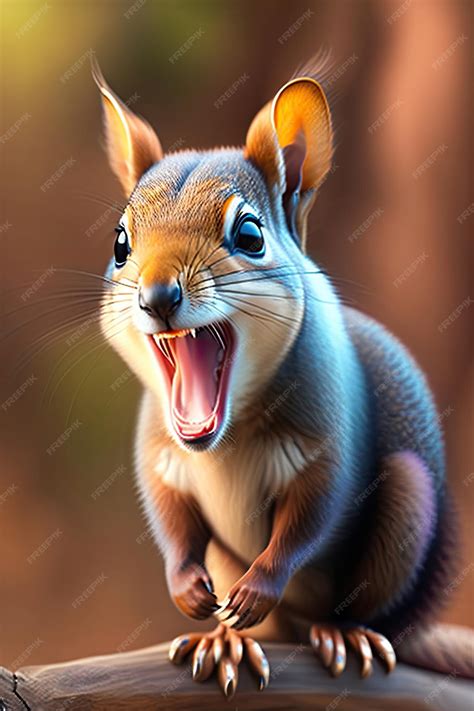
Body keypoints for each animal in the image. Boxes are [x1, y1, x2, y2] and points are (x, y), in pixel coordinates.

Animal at [91, 59, 472, 697]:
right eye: (120, 244)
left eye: (249, 235)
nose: (157, 296)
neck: (227, 438)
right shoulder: (158, 451)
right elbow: (169, 515)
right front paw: (187, 589)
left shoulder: (330, 440)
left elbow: (311, 518)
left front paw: (259, 586)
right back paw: (227, 639)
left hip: (406, 509)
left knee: (361, 604)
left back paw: (341, 631)